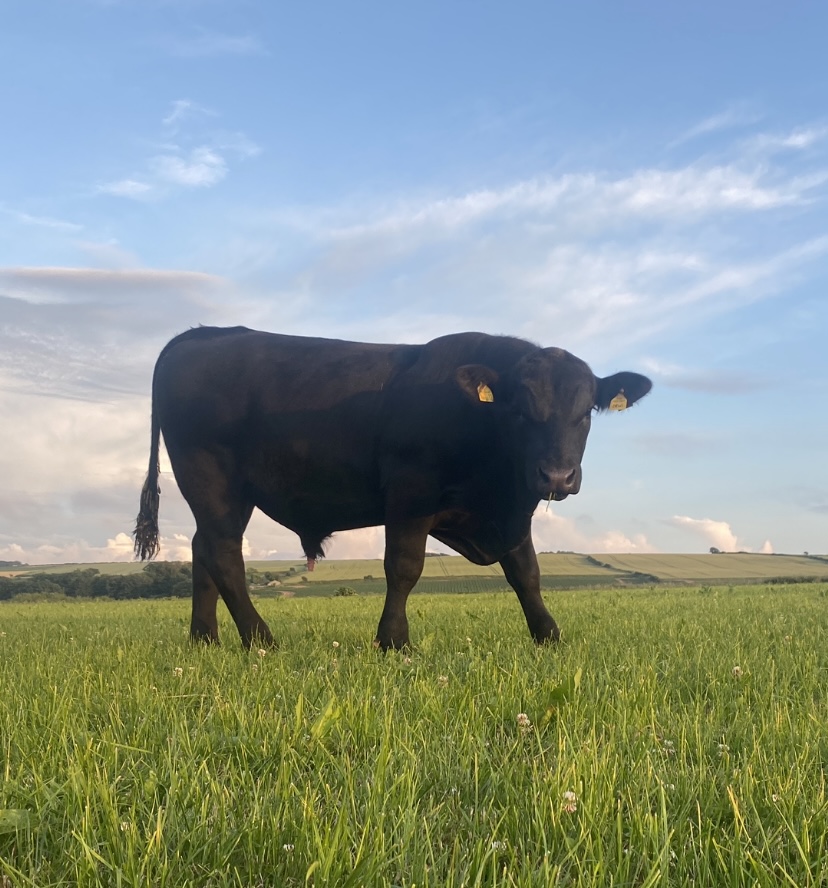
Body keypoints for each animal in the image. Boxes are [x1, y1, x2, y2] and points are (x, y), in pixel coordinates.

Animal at [134, 327, 651, 649]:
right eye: (521, 411)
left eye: (585, 413)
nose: (557, 477)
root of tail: (201, 333)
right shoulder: (409, 494)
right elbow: (404, 568)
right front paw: (393, 640)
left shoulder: (509, 510)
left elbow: (526, 572)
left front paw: (548, 635)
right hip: (213, 480)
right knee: (223, 555)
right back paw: (261, 639)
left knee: (202, 552)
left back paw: (205, 639)